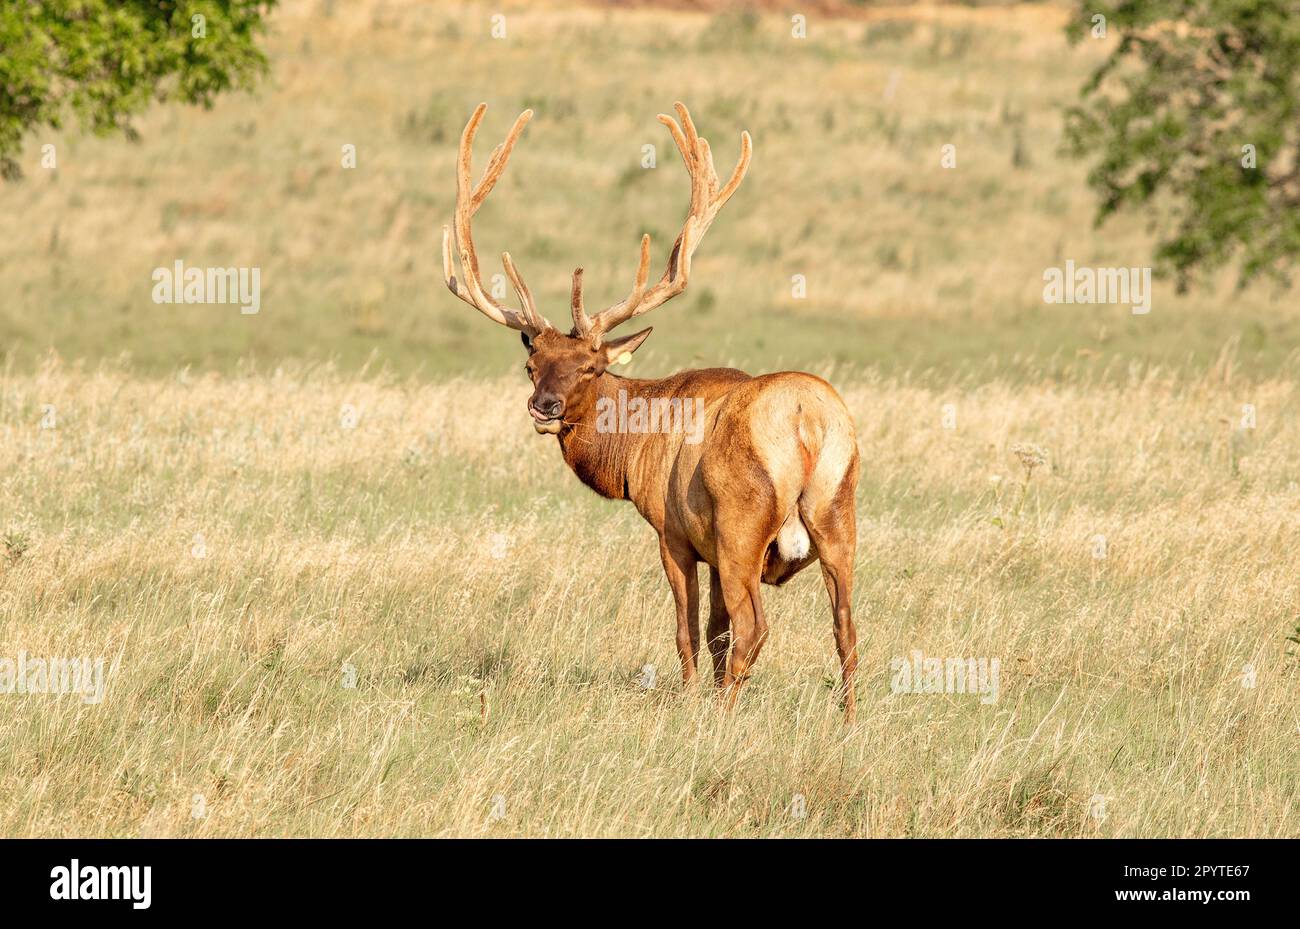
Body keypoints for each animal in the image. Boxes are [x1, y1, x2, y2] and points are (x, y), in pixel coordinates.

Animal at [442, 102, 862, 721]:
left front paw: (689, 700)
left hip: (742, 526)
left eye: (590, 367)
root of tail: (807, 420)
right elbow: (714, 632)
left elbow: (690, 632)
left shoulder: (674, 533)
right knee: (845, 628)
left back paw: (722, 716)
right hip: (837, 512)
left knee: (755, 627)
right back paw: (849, 720)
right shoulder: (707, 547)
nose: (544, 406)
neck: (633, 449)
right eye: (531, 364)